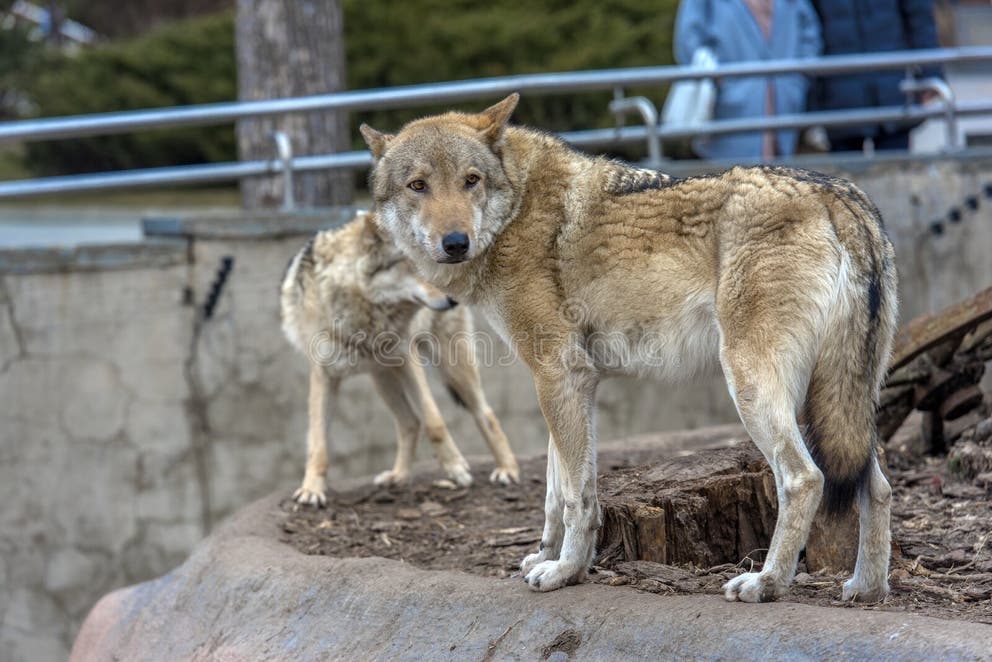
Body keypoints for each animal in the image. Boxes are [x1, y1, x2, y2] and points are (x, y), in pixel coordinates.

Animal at [280, 211, 520, 506]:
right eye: (412, 263)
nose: (453, 299)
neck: (366, 311)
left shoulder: (407, 358)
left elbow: (434, 421)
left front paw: (456, 468)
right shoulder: (323, 376)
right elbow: (318, 442)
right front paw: (312, 489)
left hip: (452, 368)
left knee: (485, 413)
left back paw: (508, 470)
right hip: (382, 379)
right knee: (409, 423)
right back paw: (399, 476)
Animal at [359, 93, 898, 603]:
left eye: (470, 180)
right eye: (418, 186)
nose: (455, 242)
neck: (516, 208)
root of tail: (840, 193)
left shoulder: (559, 374)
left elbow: (576, 498)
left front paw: (566, 571)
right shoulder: (563, 383)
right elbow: (555, 490)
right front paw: (545, 556)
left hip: (754, 389)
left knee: (805, 479)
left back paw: (766, 583)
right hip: (839, 403)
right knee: (877, 485)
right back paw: (866, 587)